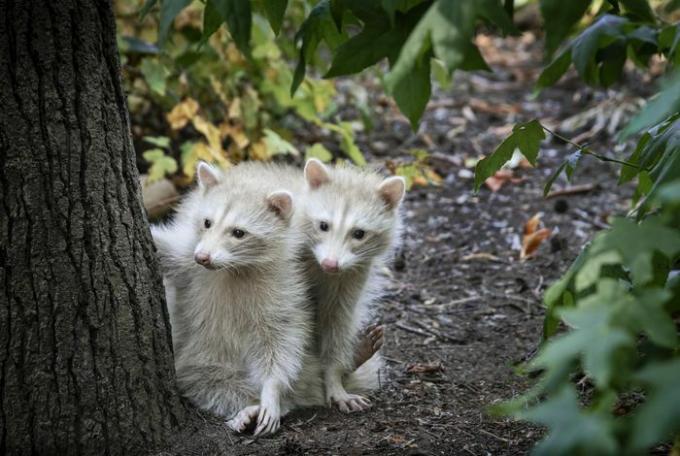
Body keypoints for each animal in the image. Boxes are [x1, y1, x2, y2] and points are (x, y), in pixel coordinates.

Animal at [298, 159, 404, 414]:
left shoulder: (353, 273)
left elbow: (337, 319)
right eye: (323, 226)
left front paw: (333, 376)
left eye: (359, 233)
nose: (330, 263)